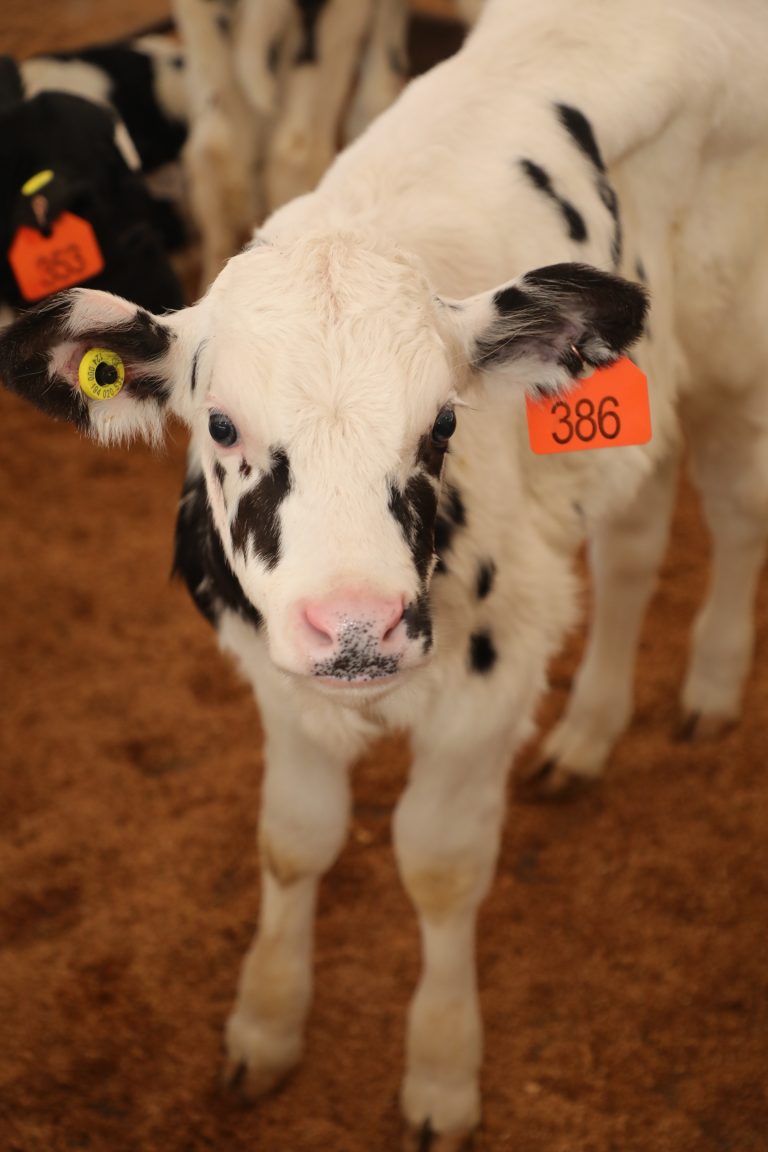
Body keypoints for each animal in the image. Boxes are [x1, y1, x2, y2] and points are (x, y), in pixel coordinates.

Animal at [2, 0, 768, 1145]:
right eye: (219, 424)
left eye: (442, 423)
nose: (357, 623)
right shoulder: (272, 669)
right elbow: (293, 840)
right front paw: (266, 1023)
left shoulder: (490, 684)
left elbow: (440, 868)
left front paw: (442, 1069)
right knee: (634, 543)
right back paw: (590, 732)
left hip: (737, 353)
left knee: (737, 507)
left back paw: (713, 684)